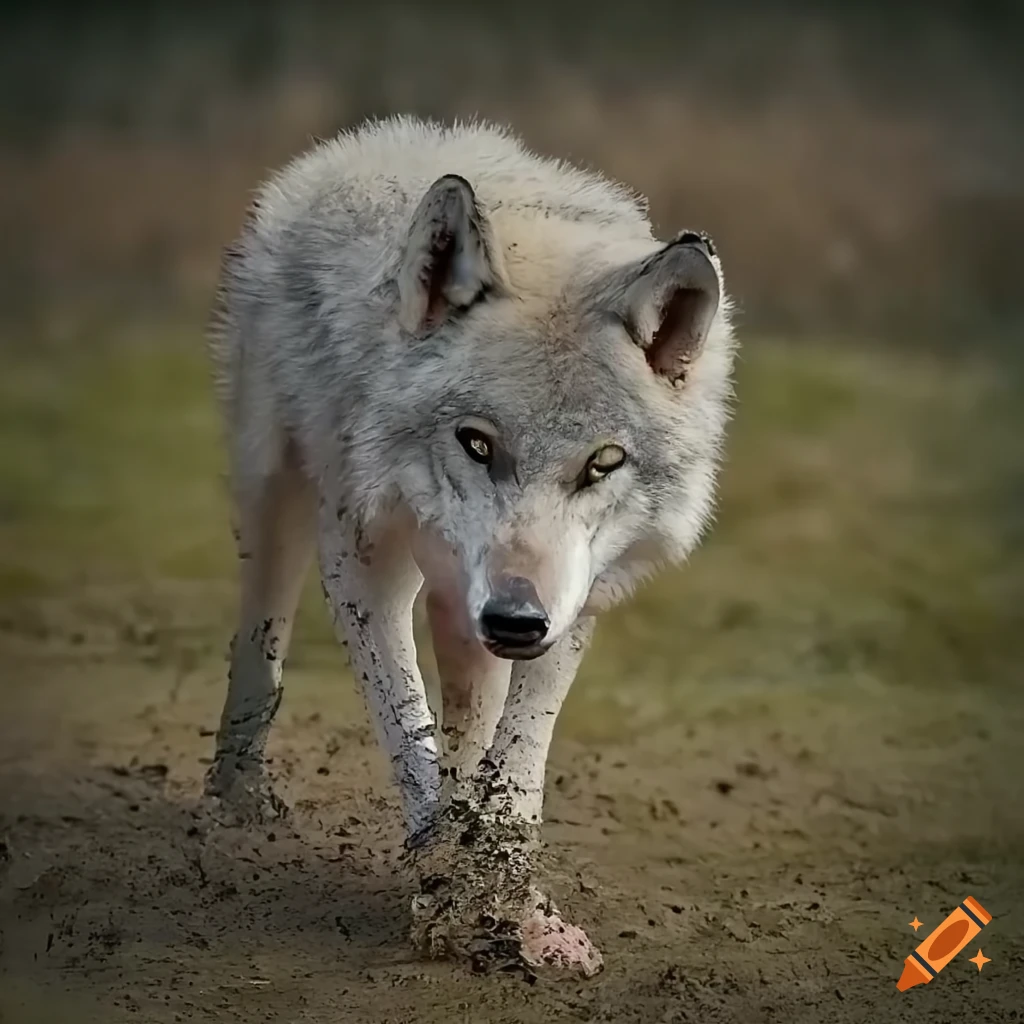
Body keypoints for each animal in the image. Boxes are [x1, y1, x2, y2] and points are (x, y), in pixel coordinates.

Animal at [205, 116, 735, 976]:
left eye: (603, 462)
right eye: (477, 443)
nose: (515, 620)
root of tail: (372, 139)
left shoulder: (570, 599)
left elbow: (514, 763)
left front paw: (512, 905)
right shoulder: (363, 559)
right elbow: (405, 724)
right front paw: (449, 893)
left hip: (463, 608)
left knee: (472, 713)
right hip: (273, 493)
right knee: (262, 631)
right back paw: (235, 799)